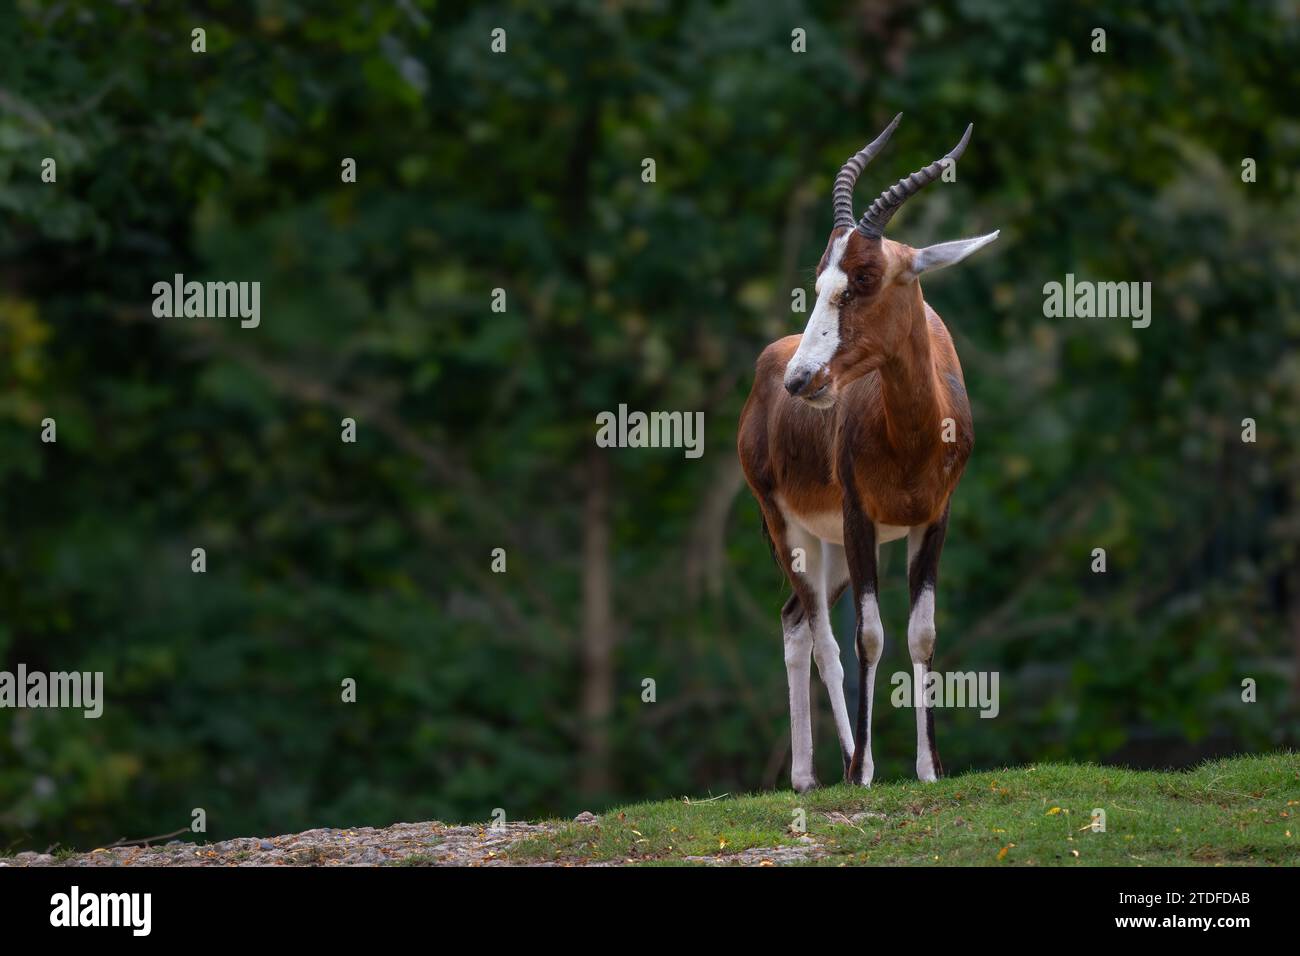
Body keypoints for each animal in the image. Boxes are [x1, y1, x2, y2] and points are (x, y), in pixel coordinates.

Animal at [737, 115, 998, 791]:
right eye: (819, 281)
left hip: (830, 552)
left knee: (794, 622)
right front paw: (866, 772)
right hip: (794, 531)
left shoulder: (933, 520)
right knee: (821, 636)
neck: (910, 435)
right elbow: (870, 638)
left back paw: (809, 775)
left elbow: (922, 634)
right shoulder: (859, 519)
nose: (801, 381)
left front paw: (930, 769)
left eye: (864, 279)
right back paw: (844, 764)